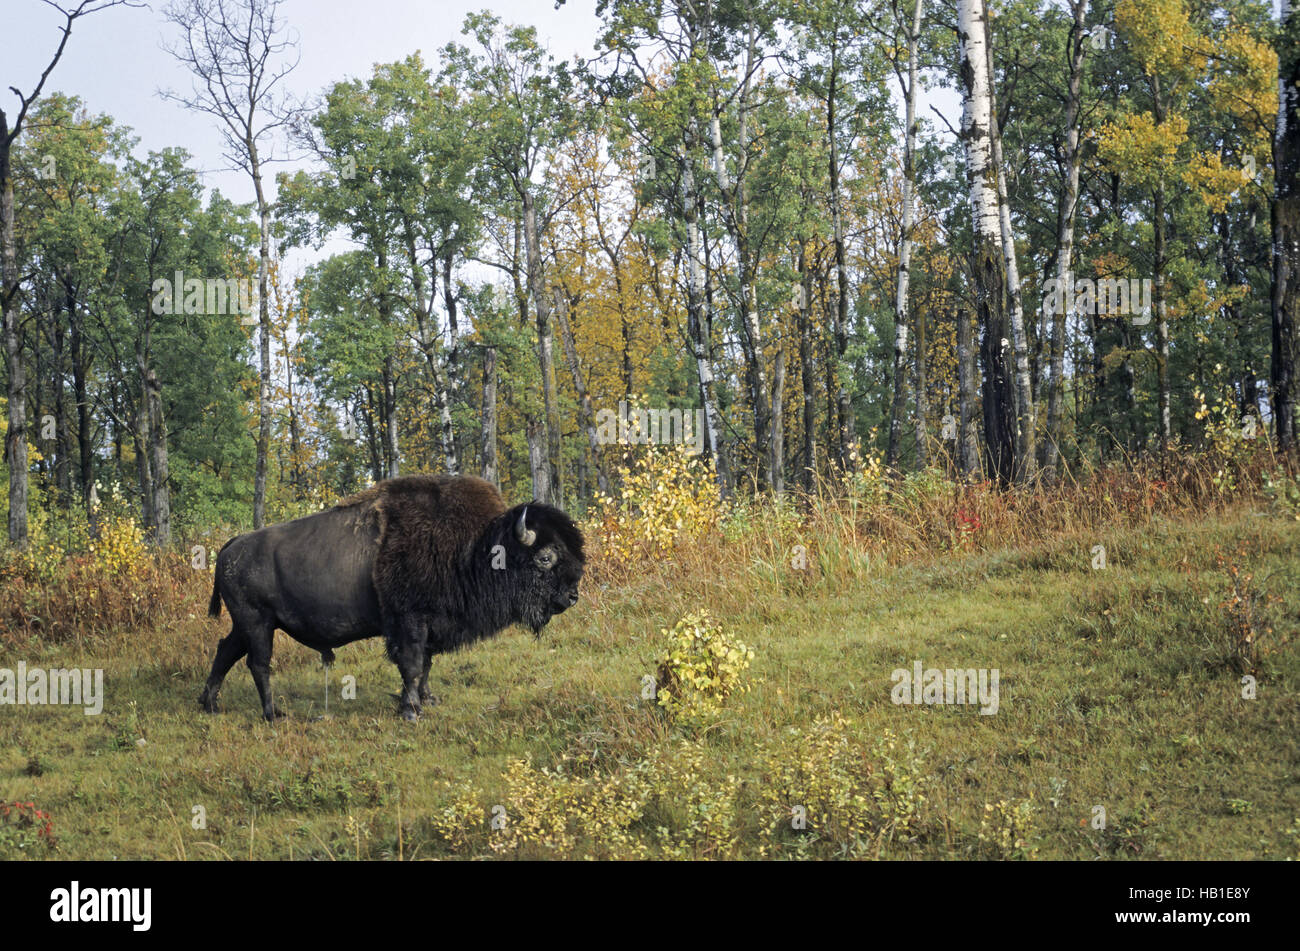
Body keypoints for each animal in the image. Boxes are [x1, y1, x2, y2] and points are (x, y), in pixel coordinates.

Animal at [200, 475, 587, 722]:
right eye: (545, 557)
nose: (572, 596)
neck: (477, 547)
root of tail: (232, 546)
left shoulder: (429, 624)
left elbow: (426, 666)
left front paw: (429, 700)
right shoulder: (410, 621)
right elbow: (412, 666)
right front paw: (411, 711)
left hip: (249, 624)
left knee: (225, 650)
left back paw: (210, 705)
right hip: (258, 622)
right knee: (259, 664)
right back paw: (273, 714)